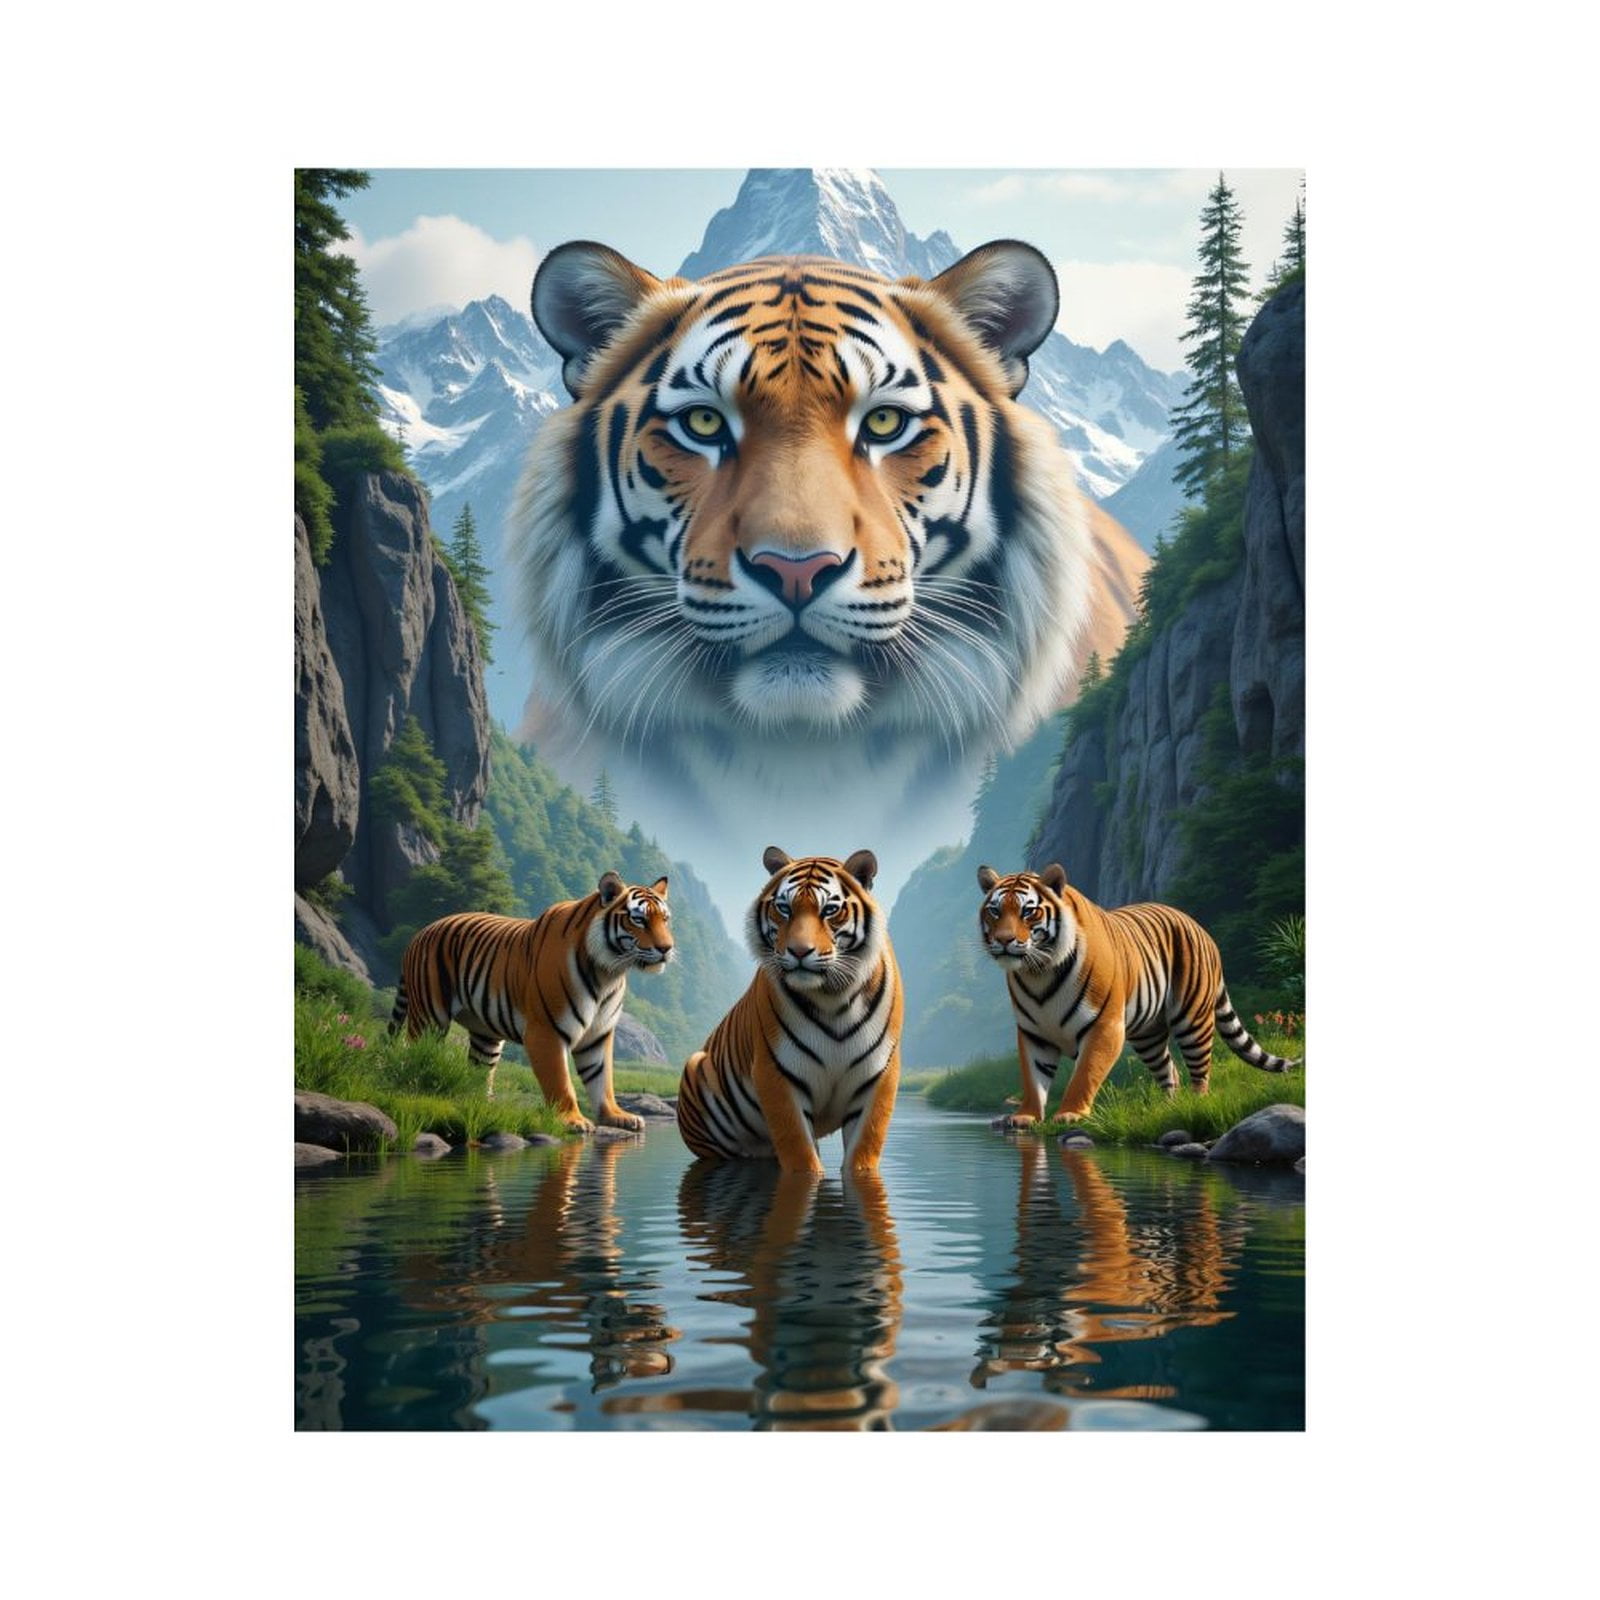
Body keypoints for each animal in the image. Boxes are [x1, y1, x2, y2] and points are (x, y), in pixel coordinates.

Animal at [388, 872, 673, 1133]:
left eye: (665, 919)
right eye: (639, 920)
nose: (667, 949)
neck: (608, 972)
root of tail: (419, 933)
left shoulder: (598, 1034)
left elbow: (602, 1078)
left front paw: (616, 1116)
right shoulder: (546, 1031)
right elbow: (560, 1080)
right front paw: (573, 1120)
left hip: (485, 1034)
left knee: (479, 1069)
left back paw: (482, 1104)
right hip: (429, 1016)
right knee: (416, 1052)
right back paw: (415, 1090)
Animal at [676, 847, 903, 1174]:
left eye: (830, 910)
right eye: (784, 909)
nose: (798, 951)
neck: (833, 995)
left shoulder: (879, 1076)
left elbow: (863, 1150)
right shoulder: (776, 1073)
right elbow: (799, 1152)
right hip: (698, 1074)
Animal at [976, 864, 1300, 1126]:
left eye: (1028, 911)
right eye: (995, 911)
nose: (1004, 940)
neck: (1039, 971)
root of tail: (1201, 928)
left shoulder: (1104, 1026)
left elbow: (1084, 1075)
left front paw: (1070, 1115)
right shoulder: (1034, 1034)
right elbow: (1033, 1078)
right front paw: (1025, 1117)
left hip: (1193, 1020)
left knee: (1199, 1070)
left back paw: (1196, 1104)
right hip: (1148, 1035)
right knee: (1170, 1070)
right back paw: (1169, 1109)